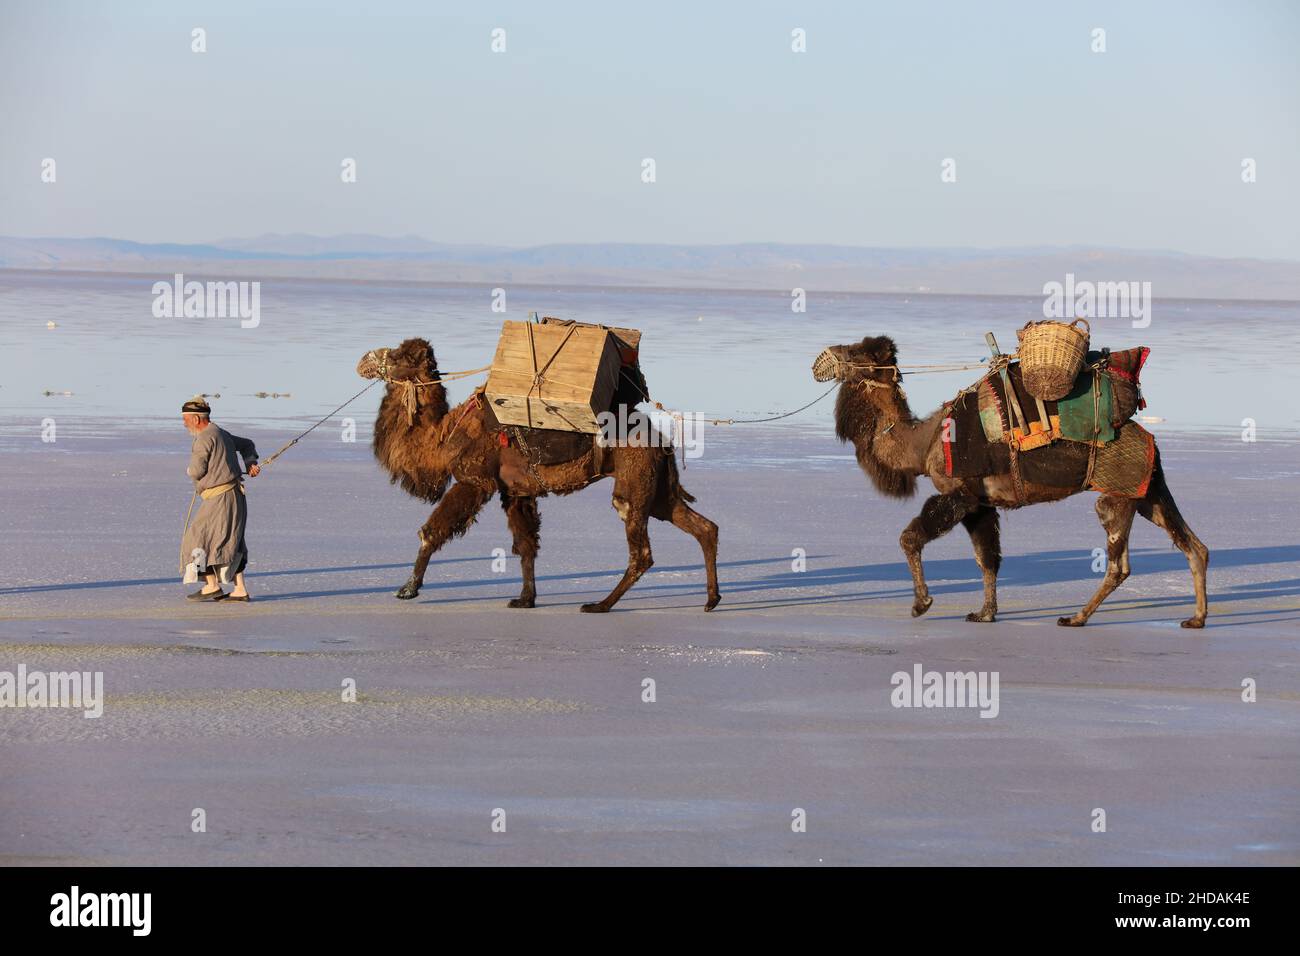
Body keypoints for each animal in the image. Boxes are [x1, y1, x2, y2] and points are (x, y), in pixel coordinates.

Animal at [356, 338, 720, 612]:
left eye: (398, 355)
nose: (364, 359)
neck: (445, 436)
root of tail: (662, 440)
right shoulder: (516, 491)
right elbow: (526, 546)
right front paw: (525, 599)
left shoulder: (474, 481)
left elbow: (431, 531)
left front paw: (408, 589)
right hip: (657, 488)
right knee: (702, 526)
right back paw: (711, 599)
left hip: (634, 477)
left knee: (641, 549)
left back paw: (600, 605)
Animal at [817, 336, 1209, 628]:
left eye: (854, 353)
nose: (823, 356)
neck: (921, 444)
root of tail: (1149, 441)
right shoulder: (980, 503)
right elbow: (987, 558)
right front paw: (985, 613)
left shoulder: (959, 492)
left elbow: (910, 538)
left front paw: (921, 603)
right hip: (1147, 489)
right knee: (1193, 545)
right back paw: (1196, 618)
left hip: (1115, 493)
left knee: (1118, 565)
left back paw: (1076, 618)